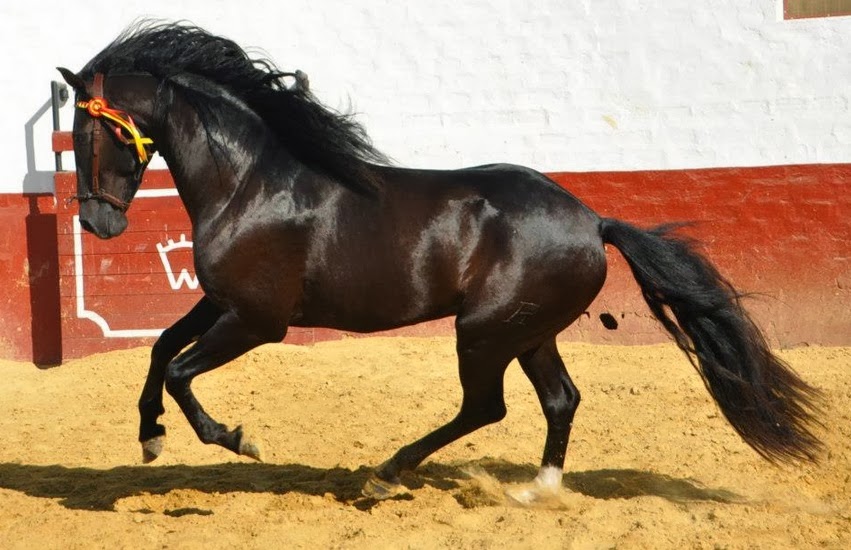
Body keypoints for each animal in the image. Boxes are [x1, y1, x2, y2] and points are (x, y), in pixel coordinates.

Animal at [58, 22, 822, 502]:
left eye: (92, 132)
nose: (97, 223)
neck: (249, 182)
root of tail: (594, 220)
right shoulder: (222, 302)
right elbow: (160, 347)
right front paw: (150, 437)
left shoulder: (257, 320)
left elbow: (181, 370)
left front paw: (234, 439)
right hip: (528, 330)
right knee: (560, 399)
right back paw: (536, 492)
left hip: (484, 331)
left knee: (486, 406)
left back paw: (386, 474)